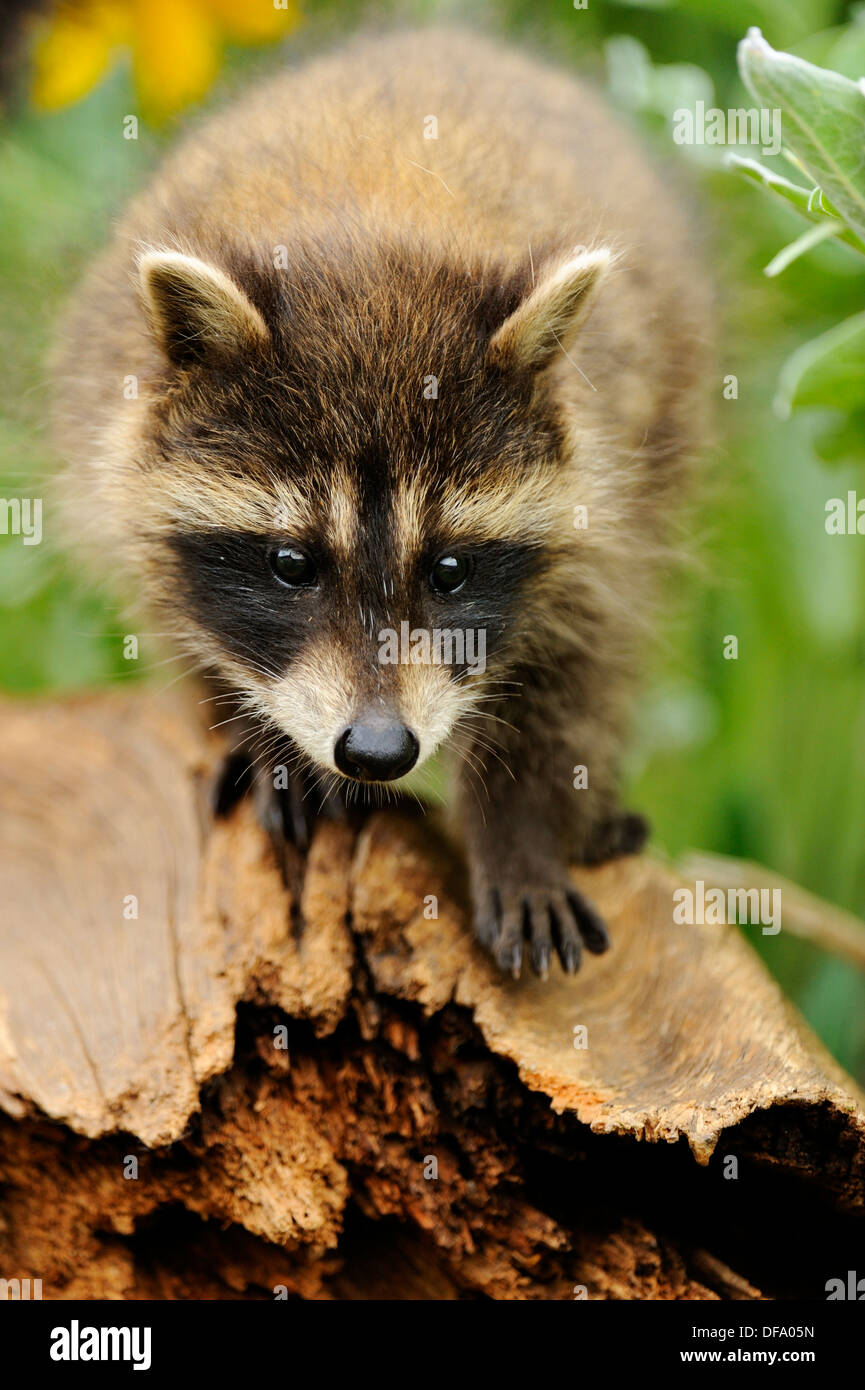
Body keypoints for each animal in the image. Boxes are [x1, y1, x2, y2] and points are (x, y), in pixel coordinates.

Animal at [53, 28, 710, 978]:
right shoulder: (117, 453)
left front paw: (523, 832)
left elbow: (572, 673)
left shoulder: (604, 508)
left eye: (449, 569)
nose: (376, 752)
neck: (373, 225)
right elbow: (184, 623)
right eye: (290, 565)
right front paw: (262, 739)